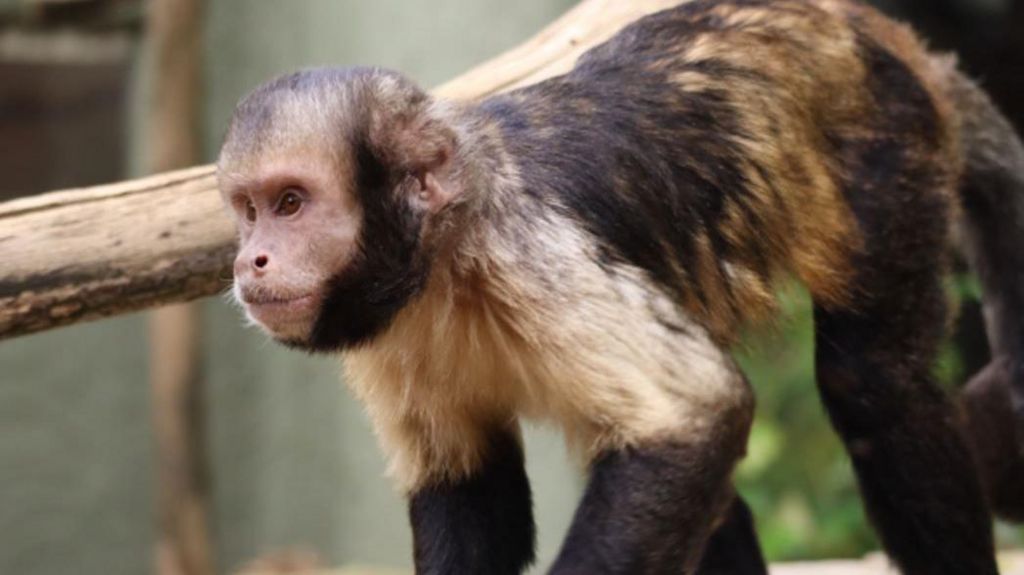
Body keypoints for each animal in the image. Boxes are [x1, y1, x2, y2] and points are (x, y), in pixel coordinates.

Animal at [216, 0, 1024, 573]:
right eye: (248, 210)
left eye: (291, 203)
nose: (250, 260)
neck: (443, 259)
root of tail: (866, 26)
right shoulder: (393, 334)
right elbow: (471, 485)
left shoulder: (529, 252)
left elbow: (697, 412)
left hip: (888, 135)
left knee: (873, 384)